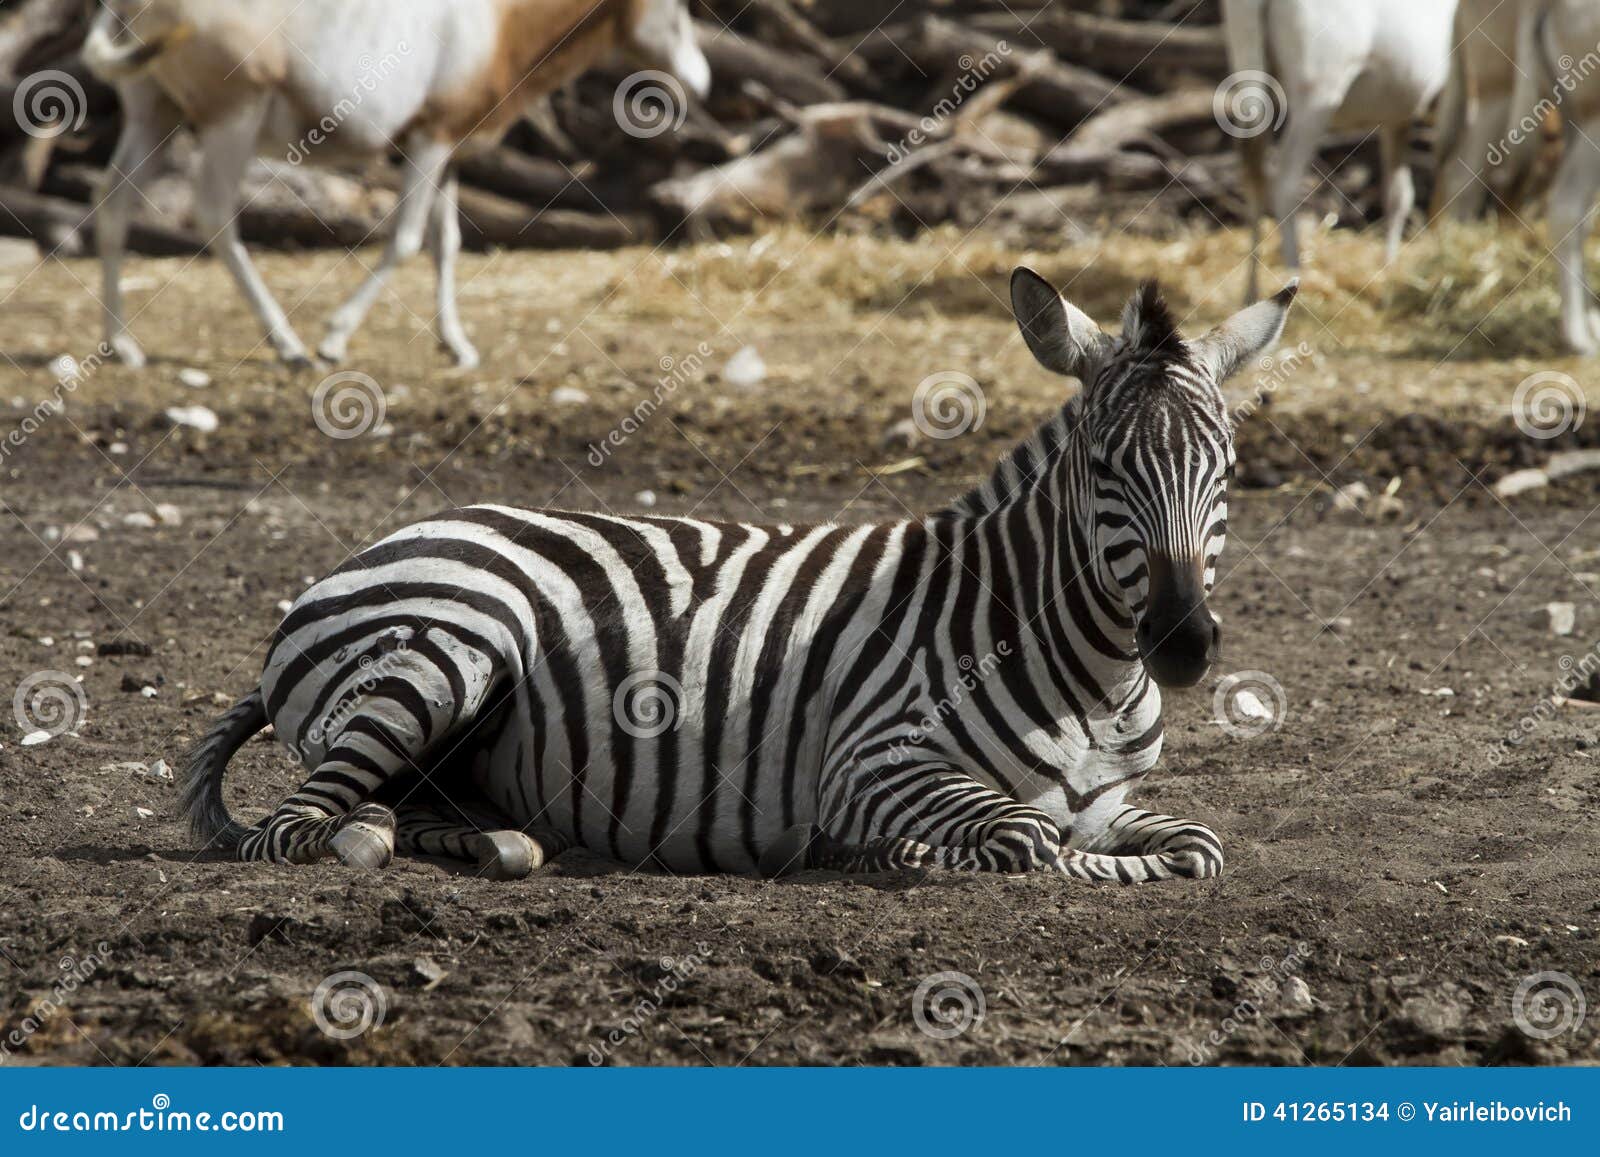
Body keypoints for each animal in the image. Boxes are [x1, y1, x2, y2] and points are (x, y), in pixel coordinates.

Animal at [181, 269, 1297, 883]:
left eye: (1229, 468)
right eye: (1104, 466)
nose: (1184, 643)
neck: (1088, 678)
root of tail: (366, 551)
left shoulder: (1108, 798)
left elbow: (1195, 841)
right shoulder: (872, 760)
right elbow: (1024, 834)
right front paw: (886, 854)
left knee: (398, 811)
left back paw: (497, 843)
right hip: (447, 649)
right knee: (295, 826)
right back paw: (359, 836)